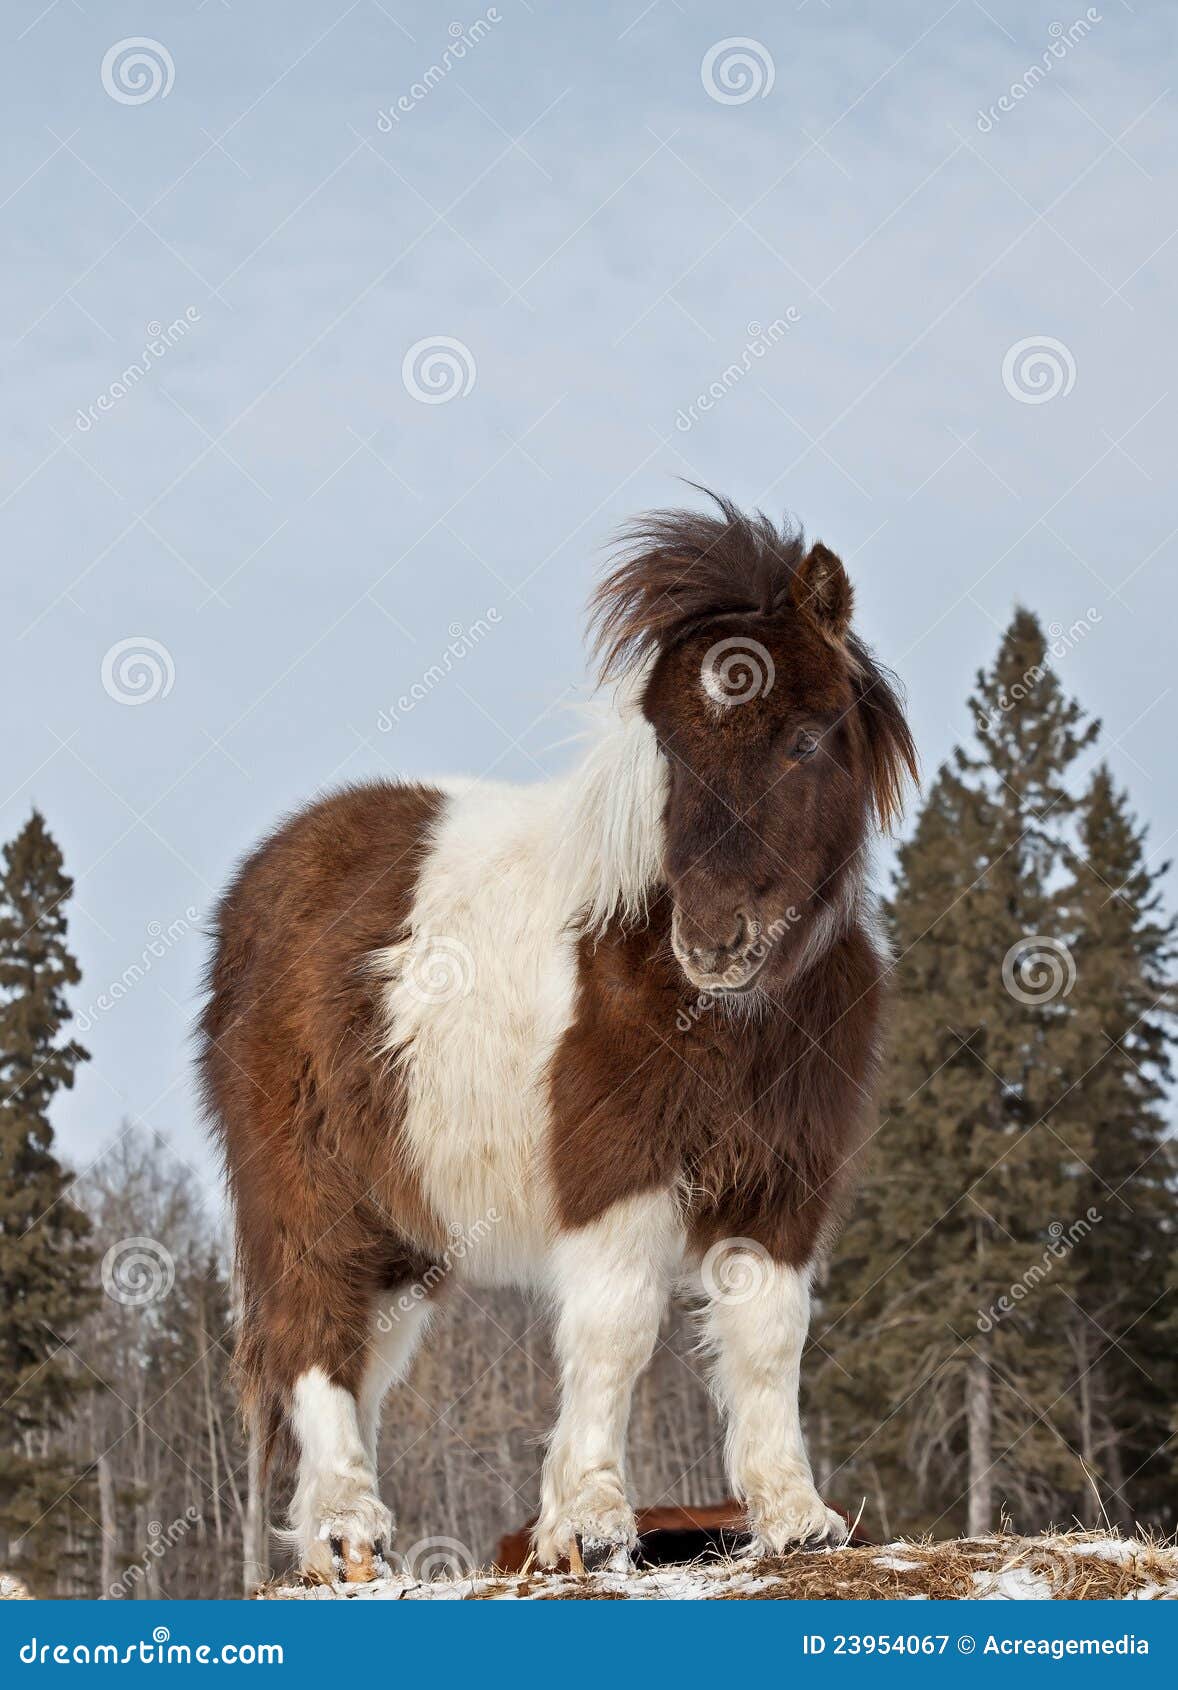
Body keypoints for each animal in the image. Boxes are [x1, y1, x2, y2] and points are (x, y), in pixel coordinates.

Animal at [198, 492, 917, 1581]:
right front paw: (586, 1527)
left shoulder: (784, 1182)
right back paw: (351, 1529)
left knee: (358, 1360)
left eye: (802, 741)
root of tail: (259, 889)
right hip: (311, 1187)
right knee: (314, 1337)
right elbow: (614, 1331)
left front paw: (797, 1520)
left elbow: (767, 1339)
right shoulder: (616, 1170)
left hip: (406, 1230)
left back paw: (335, 1547)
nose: (713, 941)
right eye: (670, 749)